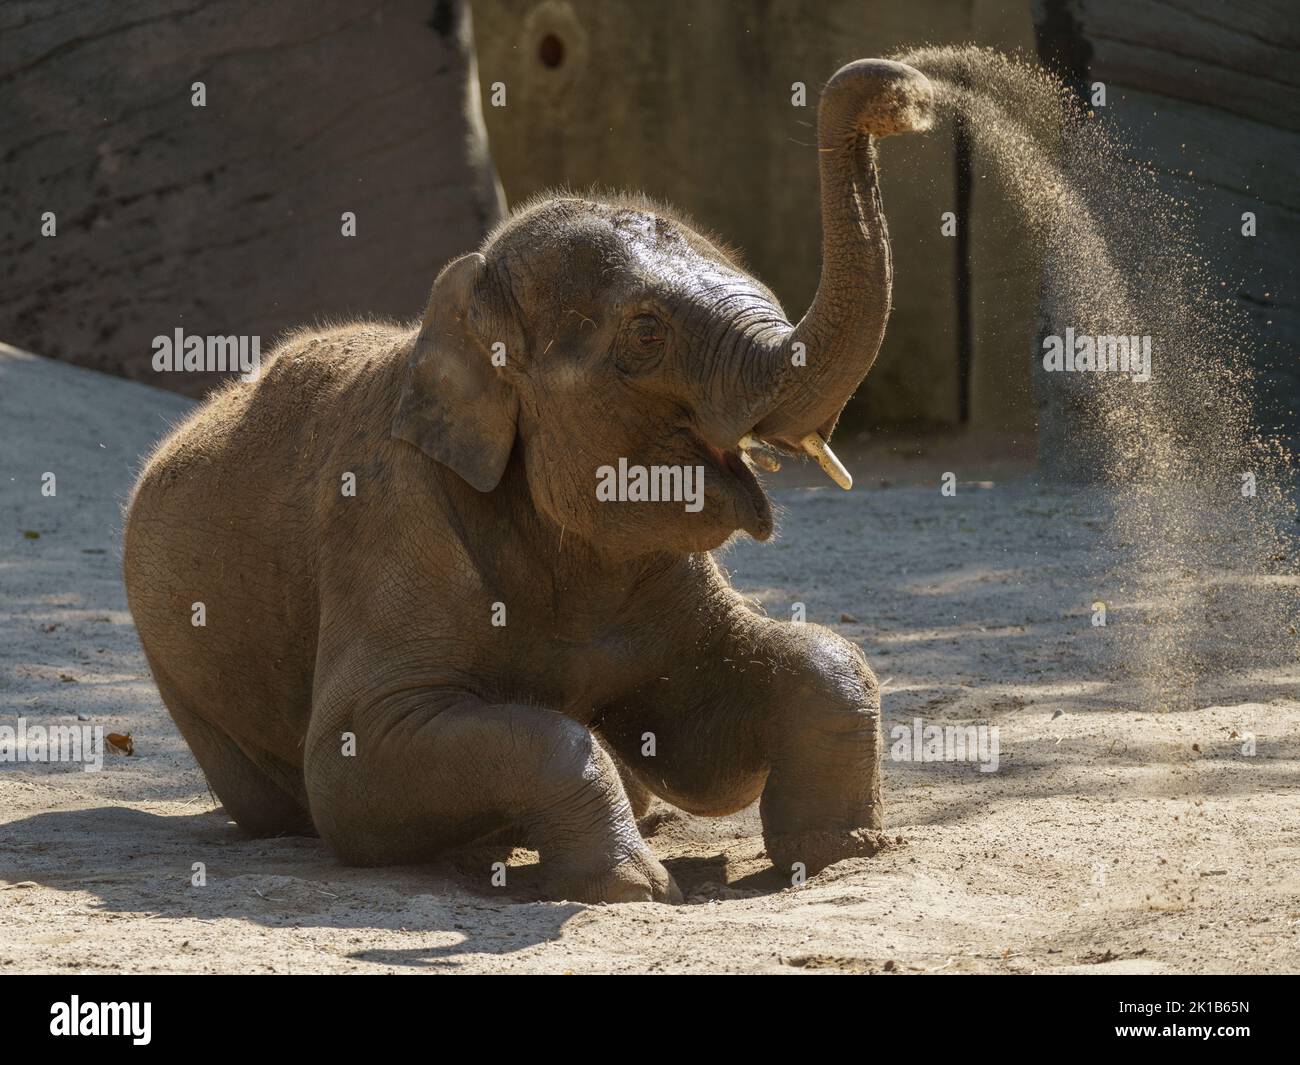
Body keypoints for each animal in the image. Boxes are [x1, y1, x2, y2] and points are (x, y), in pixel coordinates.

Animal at [123, 59, 934, 904]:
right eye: (646, 334)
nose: (903, 95)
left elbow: (727, 728)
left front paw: (840, 852)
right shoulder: (386, 521)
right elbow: (352, 768)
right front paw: (634, 888)